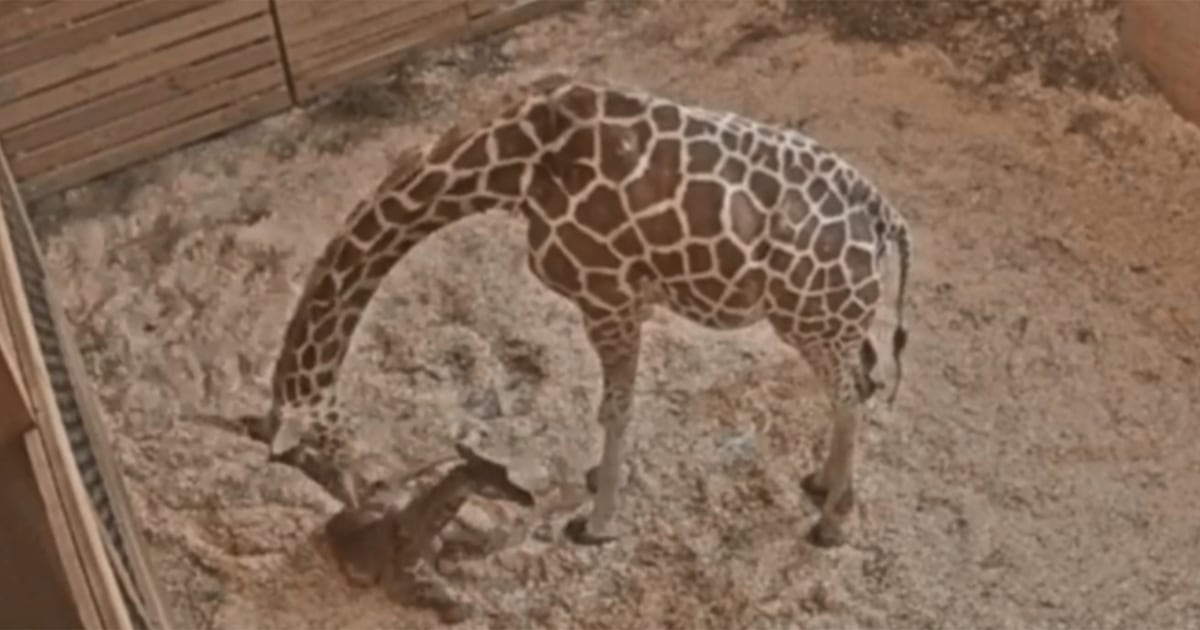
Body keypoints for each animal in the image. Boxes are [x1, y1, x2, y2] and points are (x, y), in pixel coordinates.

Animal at [262, 72, 912, 548]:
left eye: (307, 452)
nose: (357, 505)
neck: (510, 167)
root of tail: (885, 219)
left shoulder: (606, 293)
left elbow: (616, 410)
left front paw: (596, 524)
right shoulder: (626, 300)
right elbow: (612, 406)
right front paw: (601, 483)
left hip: (811, 319)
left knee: (850, 395)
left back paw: (830, 524)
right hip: (829, 322)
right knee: (863, 382)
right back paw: (826, 486)